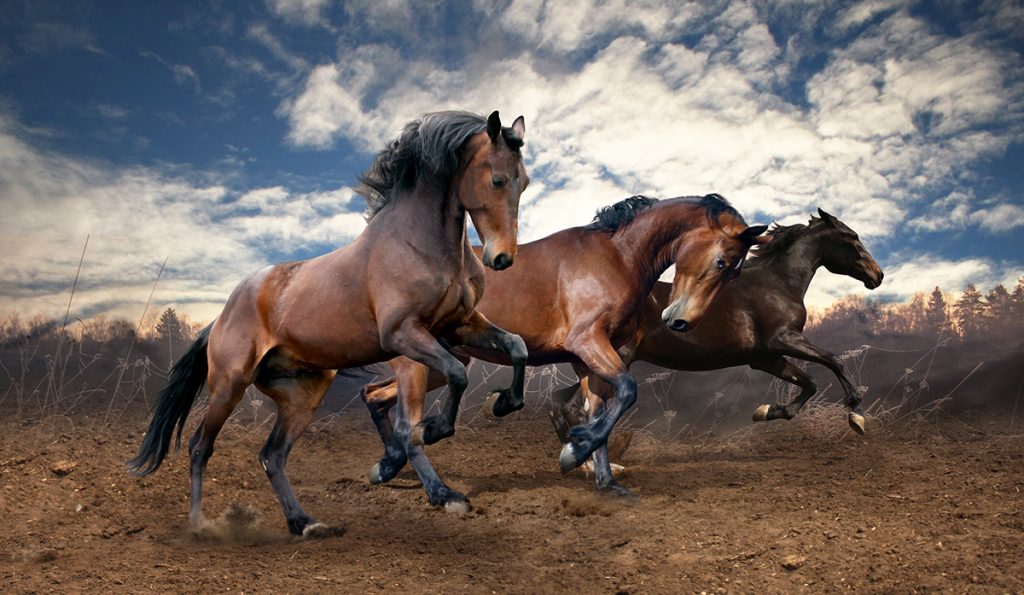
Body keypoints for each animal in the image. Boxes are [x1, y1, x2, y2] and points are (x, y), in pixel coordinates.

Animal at [128, 110, 530, 536]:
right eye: (497, 179)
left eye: (524, 182)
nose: (501, 258)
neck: (419, 244)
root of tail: (220, 317)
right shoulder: (403, 334)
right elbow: (453, 378)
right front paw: (436, 449)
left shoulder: (460, 325)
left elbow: (515, 346)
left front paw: (502, 403)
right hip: (229, 385)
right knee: (200, 447)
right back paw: (199, 524)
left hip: (303, 394)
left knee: (272, 455)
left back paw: (303, 522)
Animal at [361, 194, 768, 503]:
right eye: (722, 262)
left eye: (733, 272)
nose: (681, 322)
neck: (616, 257)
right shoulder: (588, 342)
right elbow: (627, 391)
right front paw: (573, 453)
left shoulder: (587, 360)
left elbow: (600, 409)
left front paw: (605, 480)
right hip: (418, 364)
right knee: (406, 425)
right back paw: (440, 492)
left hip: (441, 362)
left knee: (374, 396)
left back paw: (387, 466)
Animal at [550, 208, 884, 475]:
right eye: (852, 237)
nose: (877, 275)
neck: (777, 284)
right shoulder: (785, 339)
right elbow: (833, 360)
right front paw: (856, 415)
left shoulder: (766, 358)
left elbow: (809, 383)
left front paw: (766, 411)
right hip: (617, 361)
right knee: (574, 407)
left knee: (559, 402)